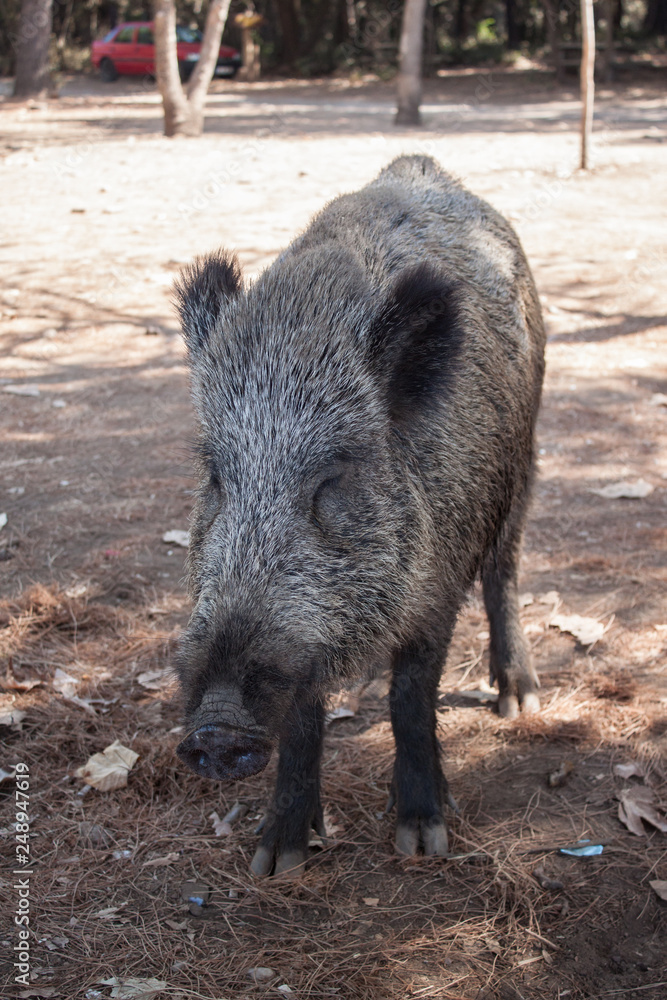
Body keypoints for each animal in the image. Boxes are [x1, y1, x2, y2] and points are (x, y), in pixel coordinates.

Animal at [174, 155, 545, 878]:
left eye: (332, 478)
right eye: (217, 477)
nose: (217, 727)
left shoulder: (438, 580)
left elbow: (410, 693)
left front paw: (422, 840)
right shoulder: (303, 647)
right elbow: (301, 717)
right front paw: (277, 861)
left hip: (525, 458)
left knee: (506, 567)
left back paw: (518, 701)